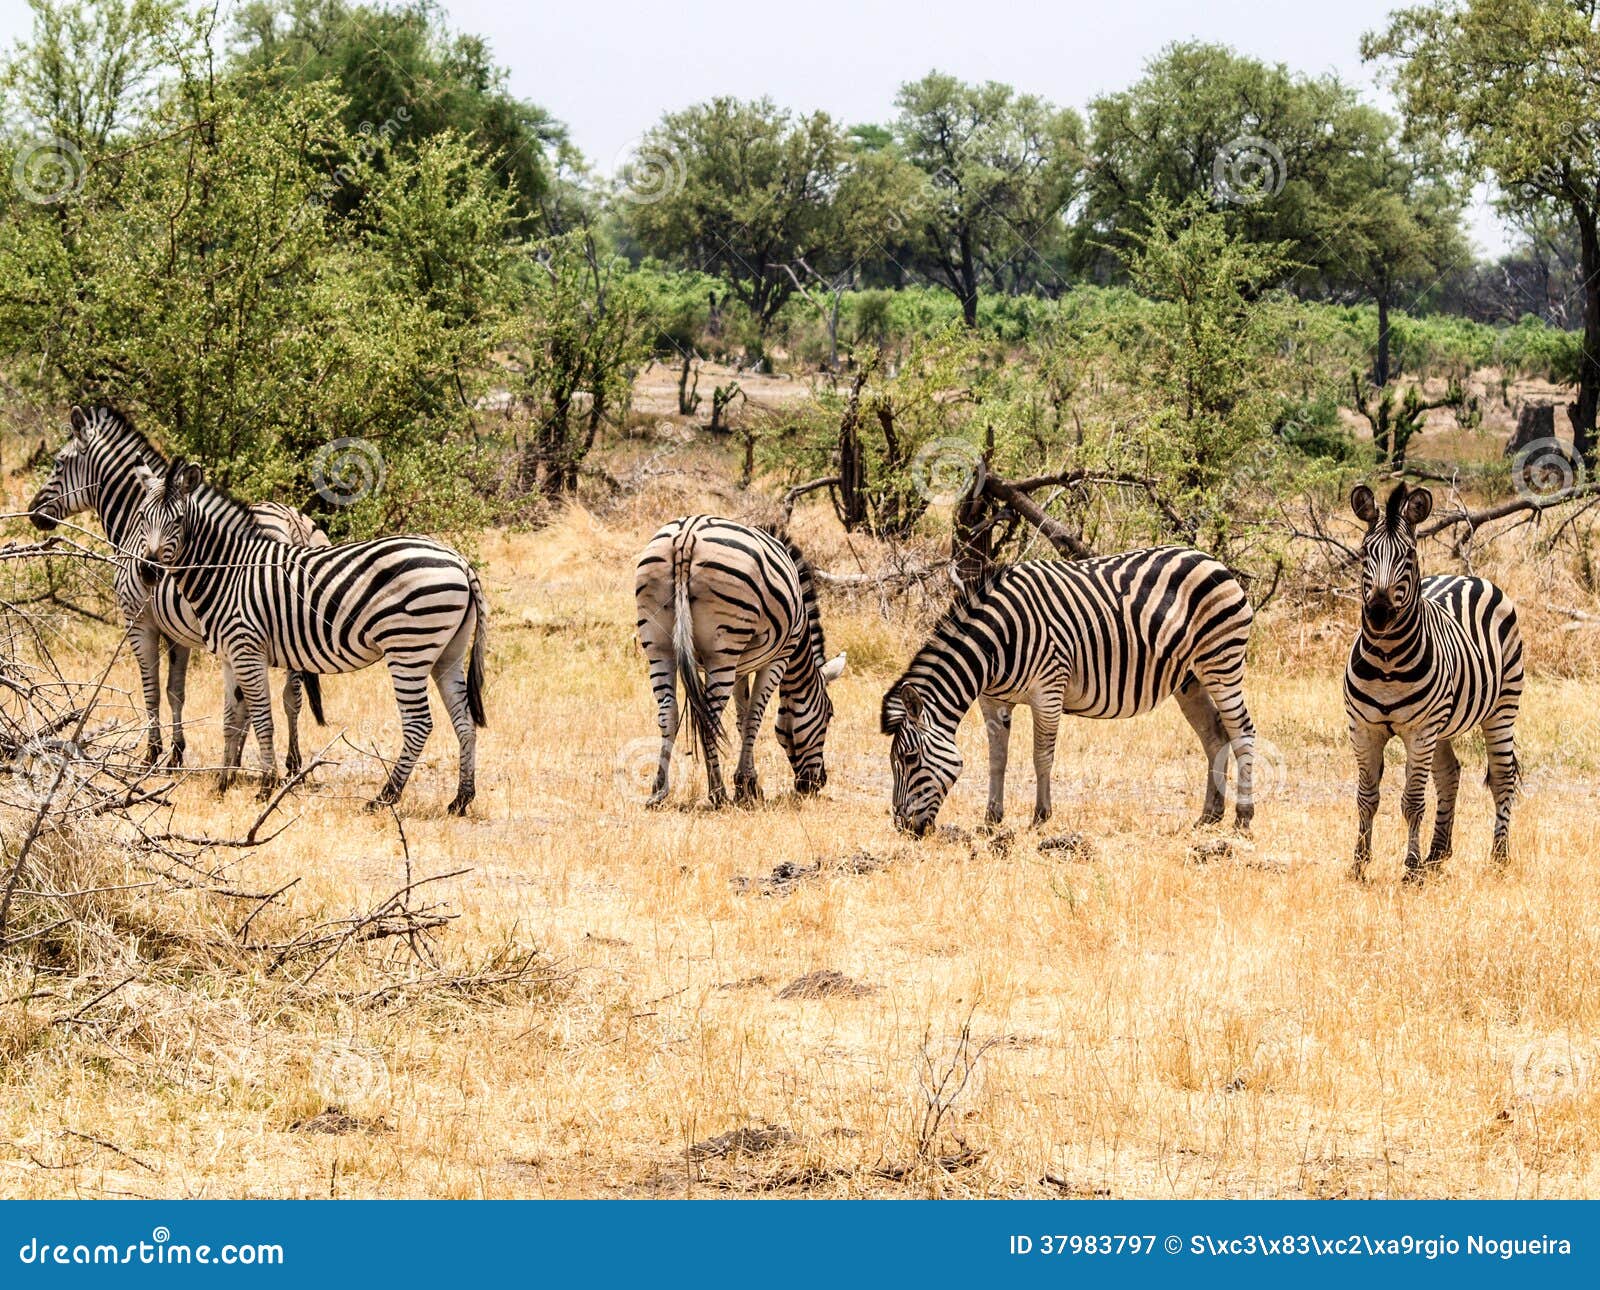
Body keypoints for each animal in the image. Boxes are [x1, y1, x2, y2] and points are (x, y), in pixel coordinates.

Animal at [27, 406, 329, 772]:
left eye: (59, 462)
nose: (32, 513)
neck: (136, 521)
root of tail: (292, 521)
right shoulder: (179, 633)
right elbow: (176, 690)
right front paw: (177, 753)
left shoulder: (140, 622)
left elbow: (153, 688)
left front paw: (154, 753)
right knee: (291, 695)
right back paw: (291, 761)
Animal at [131, 458, 489, 813]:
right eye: (142, 516)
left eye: (178, 520)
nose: (148, 571)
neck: (228, 572)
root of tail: (459, 561)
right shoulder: (230, 656)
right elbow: (231, 719)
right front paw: (222, 784)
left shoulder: (247, 649)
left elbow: (262, 718)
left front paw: (266, 786)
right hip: (448, 652)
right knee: (464, 720)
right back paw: (461, 798)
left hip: (409, 647)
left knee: (419, 723)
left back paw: (384, 797)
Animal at [633, 515, 846, 807]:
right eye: (829, 714)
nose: (816, 784)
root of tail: (686, 537)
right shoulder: (778, 658)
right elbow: (753, 718)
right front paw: (747, 786)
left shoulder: (740, 666)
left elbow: (741, 718)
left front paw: (745, 783)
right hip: (724, 647)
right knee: (709, 717)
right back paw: (717, 792)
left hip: (657, 644)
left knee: (668, 712)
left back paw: (659, 790)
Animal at [880, 547, 1256, 837]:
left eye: (909, 758)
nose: (904, 828)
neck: (996, 645)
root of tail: (1213, 560)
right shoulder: (992, 700)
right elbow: (997, 758)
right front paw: (991, 820)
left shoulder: (1048, 689)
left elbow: (1041, 757)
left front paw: (1040, 818)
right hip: (1190, 680)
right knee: (1214, 736)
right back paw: (1209, 816)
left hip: (1221, 663)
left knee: (1242, 732)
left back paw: (1243, 817)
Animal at [1345, 482, 1523, 881]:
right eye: (1365, 553)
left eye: (1409, 555)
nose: (1379, 613)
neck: (1386, 660)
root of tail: (1466, 576)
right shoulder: (1363, 729)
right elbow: (1366, 798)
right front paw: (1358, 865)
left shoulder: (1419, 731)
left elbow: (1412, 801)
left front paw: (1410, 869)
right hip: (1442, 725)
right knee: (1449, 773)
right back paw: (1438, 854)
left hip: (1502, 707)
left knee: (1503, 776)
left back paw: (1499, 856)